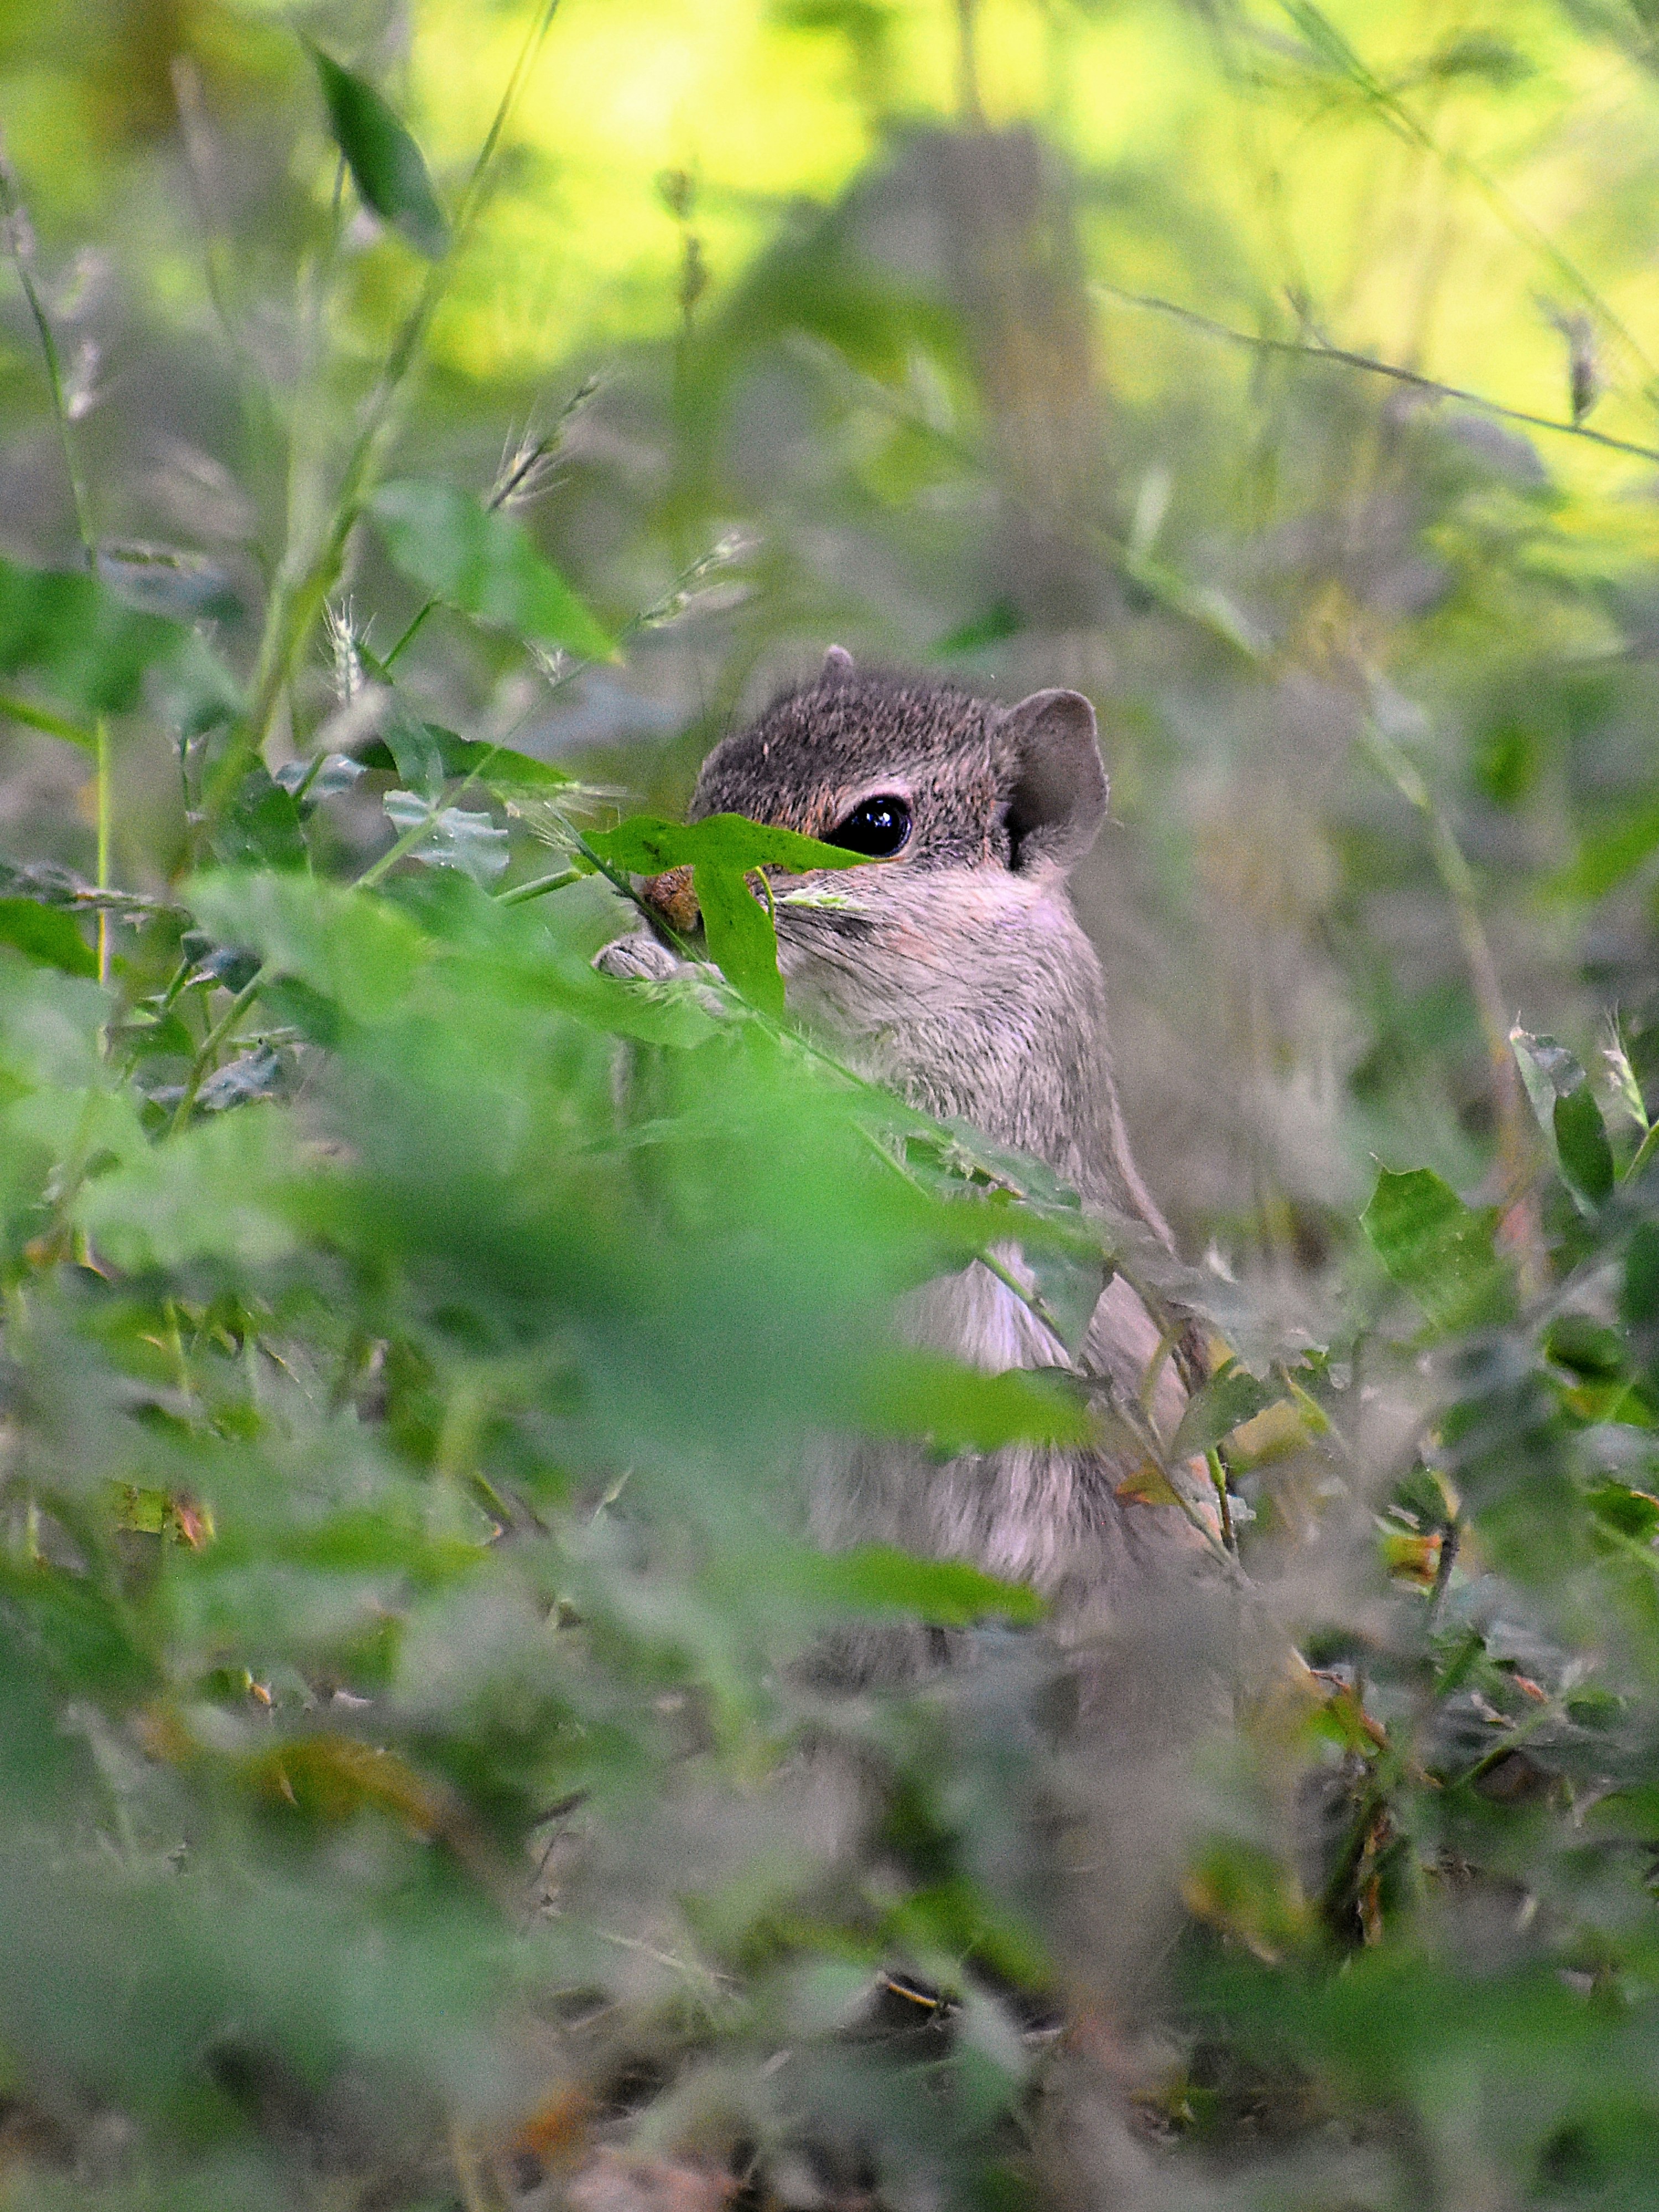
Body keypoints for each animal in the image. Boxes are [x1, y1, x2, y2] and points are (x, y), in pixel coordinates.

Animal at [596, 648, 1216, 1629]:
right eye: (711, 772)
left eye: (876, 825)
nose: (663, 903)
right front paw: (635, 969)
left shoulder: (998, 1099)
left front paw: (701, 1000)